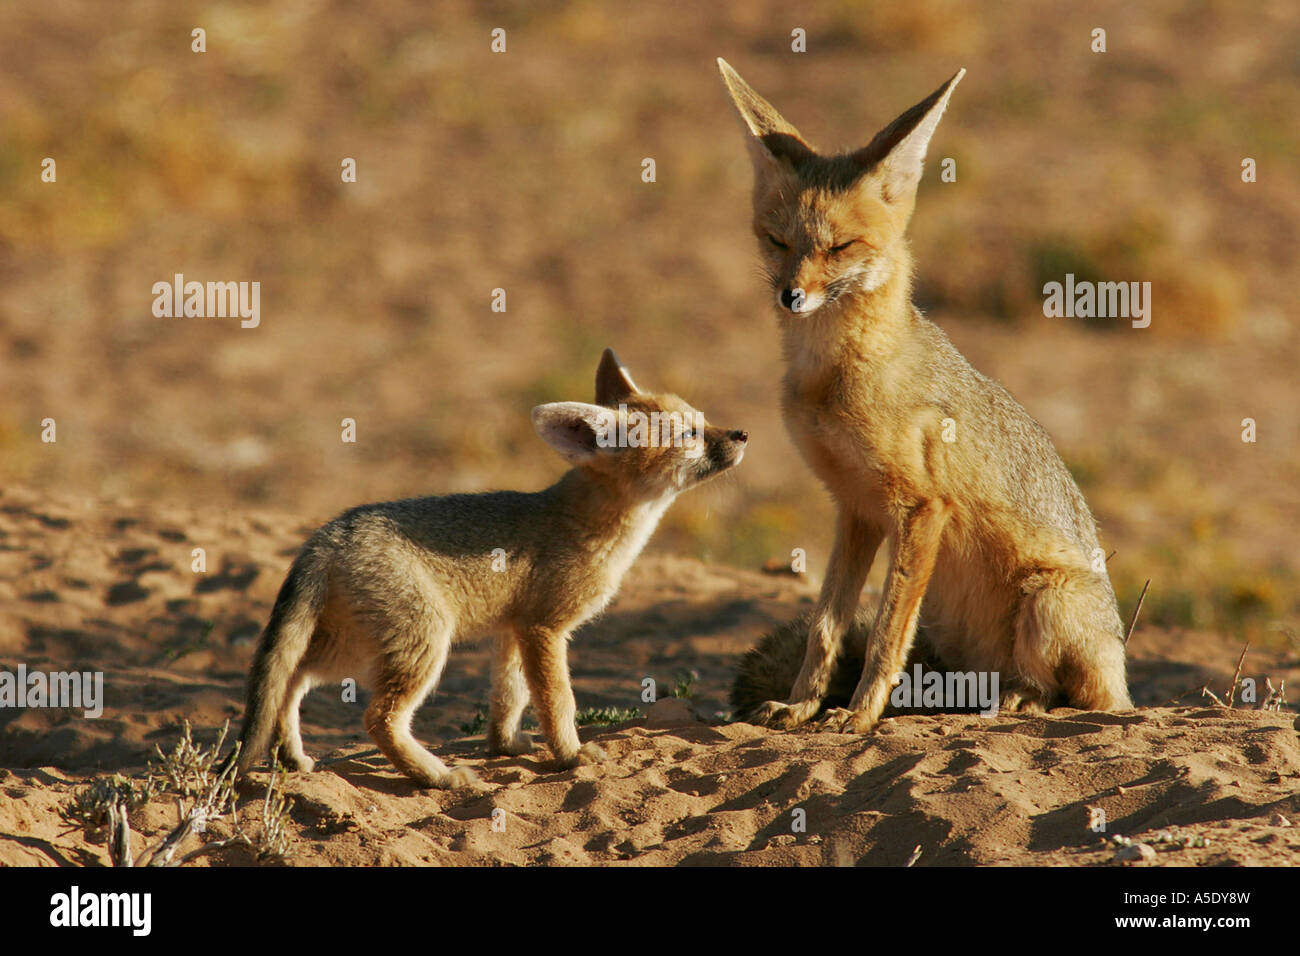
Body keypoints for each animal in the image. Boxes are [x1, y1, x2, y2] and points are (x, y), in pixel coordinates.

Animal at [230, 348, 747, 788]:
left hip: (353, 648)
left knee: (290, 679)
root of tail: (330, 533)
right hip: (422, 645)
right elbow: (558, 701)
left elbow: (510, 695)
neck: (586, 522)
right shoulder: (544, 628)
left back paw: (293, 756)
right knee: (378, 718)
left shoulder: (513, 629)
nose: (742, 434)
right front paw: (570, 756)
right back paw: (437, 777)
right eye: (689, 435)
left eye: (704, 420)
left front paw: (505, 745)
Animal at [716, 58, 1132, 733]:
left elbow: (885, 633)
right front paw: (802, 706)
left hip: (1047, 599)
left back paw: (1020, 697)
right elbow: (825, 628)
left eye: (839, 247)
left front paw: (858, 717)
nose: (790, 297)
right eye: (777, 242)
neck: (833, 376)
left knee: (1067, 696)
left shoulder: (921, 510)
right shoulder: (854, 509)